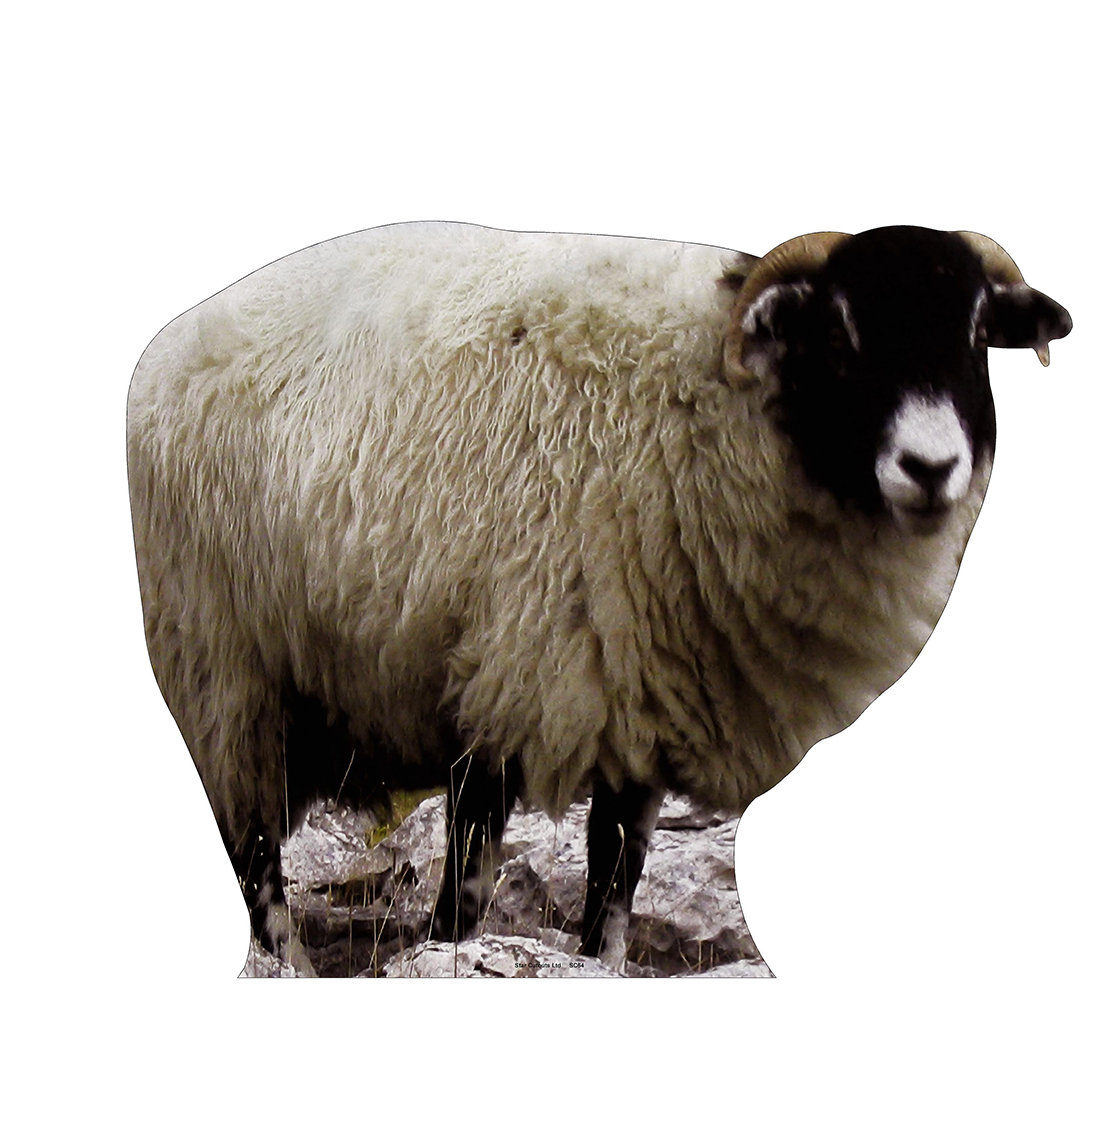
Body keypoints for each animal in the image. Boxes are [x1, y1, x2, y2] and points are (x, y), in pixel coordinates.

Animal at [126, 222, 1071, 974]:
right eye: (838, 332)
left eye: (978, 333)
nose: (932, 467)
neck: (716, 408)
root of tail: (167, 343)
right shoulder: (505, 673)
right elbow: (465, 894)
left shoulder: (642, 700)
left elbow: (615, 887)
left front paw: (598, 957)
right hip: (220, 671)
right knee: (253, 861)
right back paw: (286, 963)